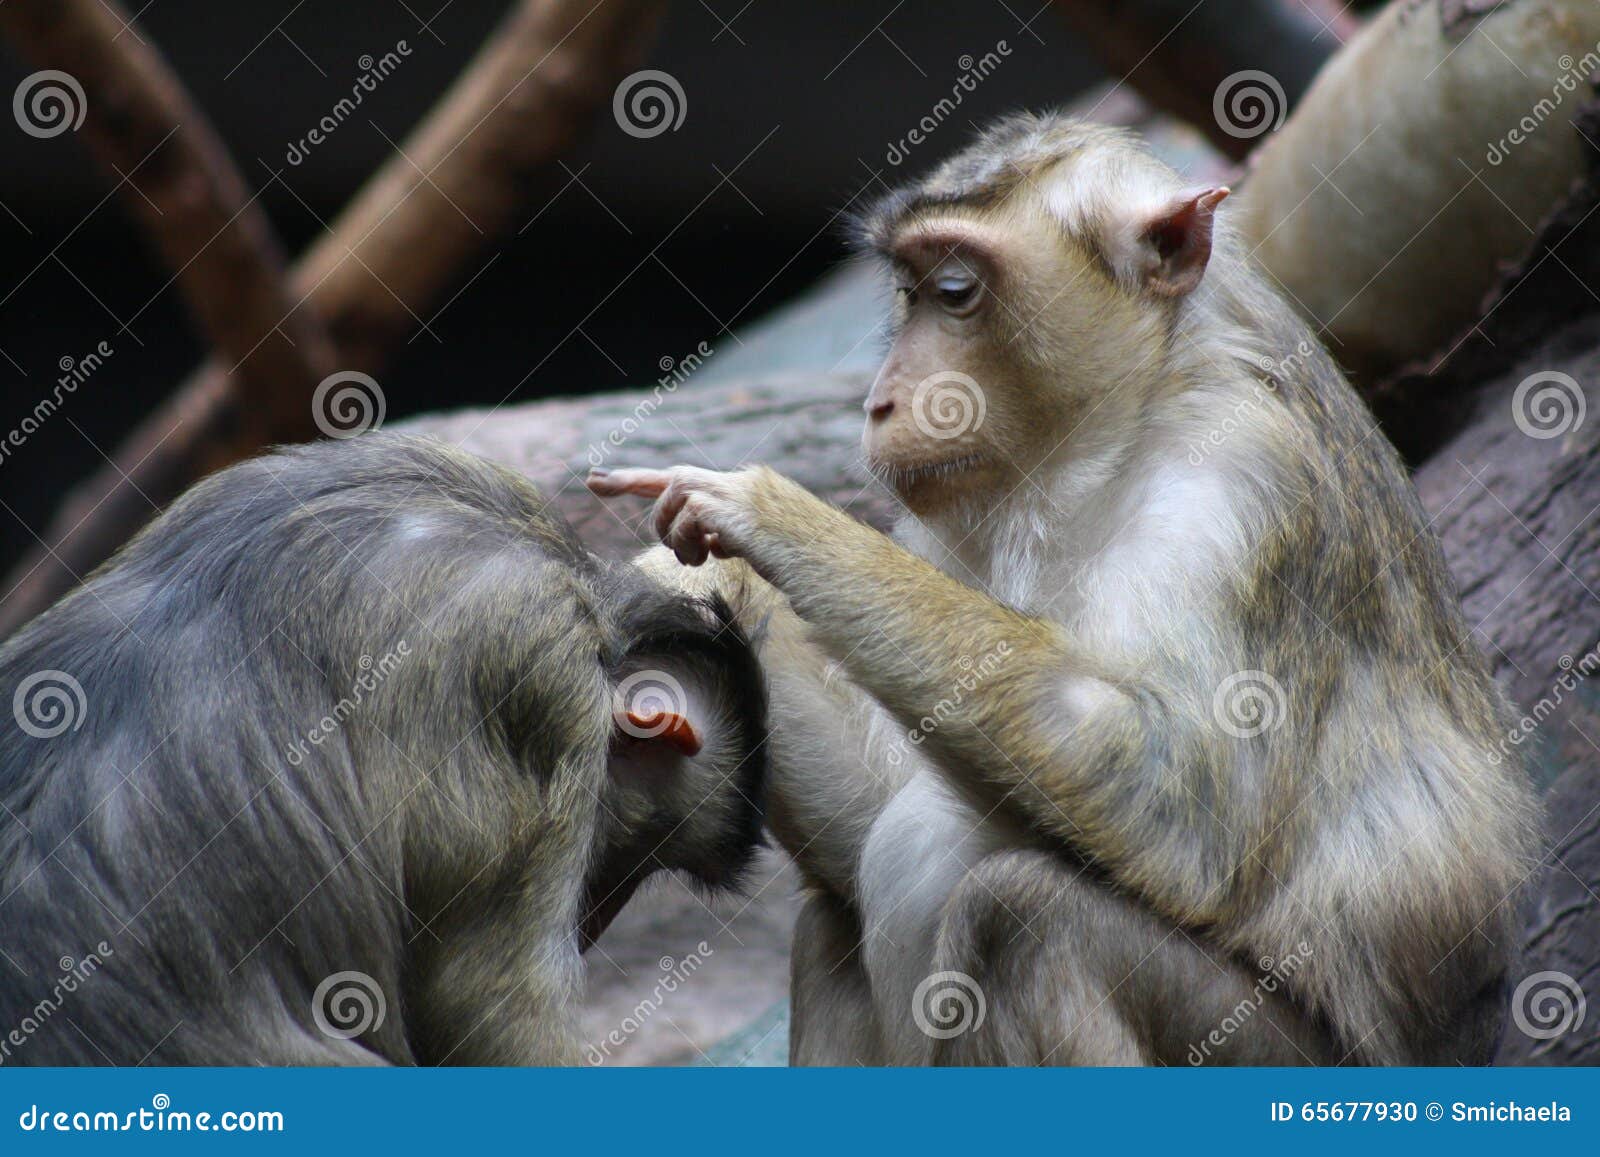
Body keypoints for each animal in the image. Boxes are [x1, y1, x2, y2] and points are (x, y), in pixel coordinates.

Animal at [588, 114, 1541, 1066]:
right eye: (907, 290)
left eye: (956, 290)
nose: (881, 402)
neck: (1115, 437)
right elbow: (876, 821)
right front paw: (699, 578)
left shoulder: (1244, 484)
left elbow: (1187, 810)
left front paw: (767, 515)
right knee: (838, 913)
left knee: (1025, 918)